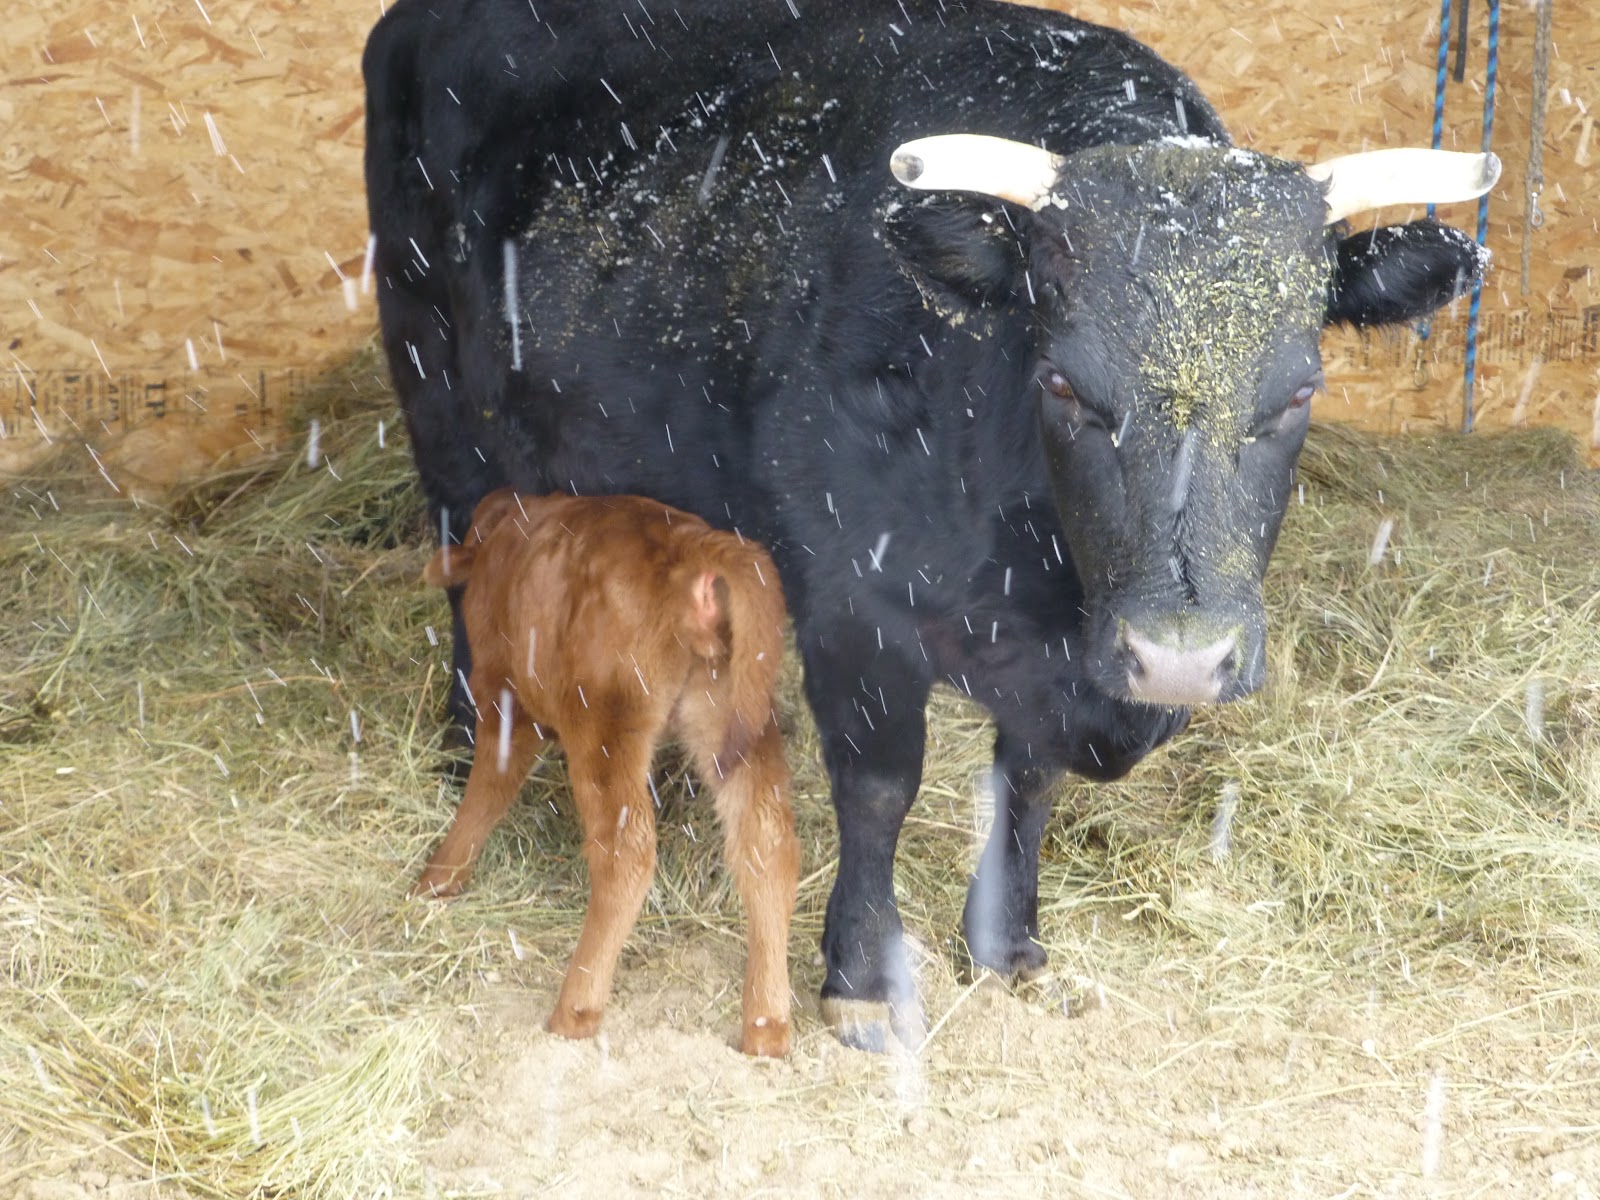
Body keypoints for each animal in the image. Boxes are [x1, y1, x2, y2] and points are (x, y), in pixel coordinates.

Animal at [414, 489, 798, 1056]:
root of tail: (690, 546)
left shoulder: (503, 693)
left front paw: (439, 877)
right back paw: (767, 1026)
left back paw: (576, 1010)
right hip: (733, 719)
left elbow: (489, 786)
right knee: (767, 845)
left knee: (626, 853)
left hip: (605, 725)